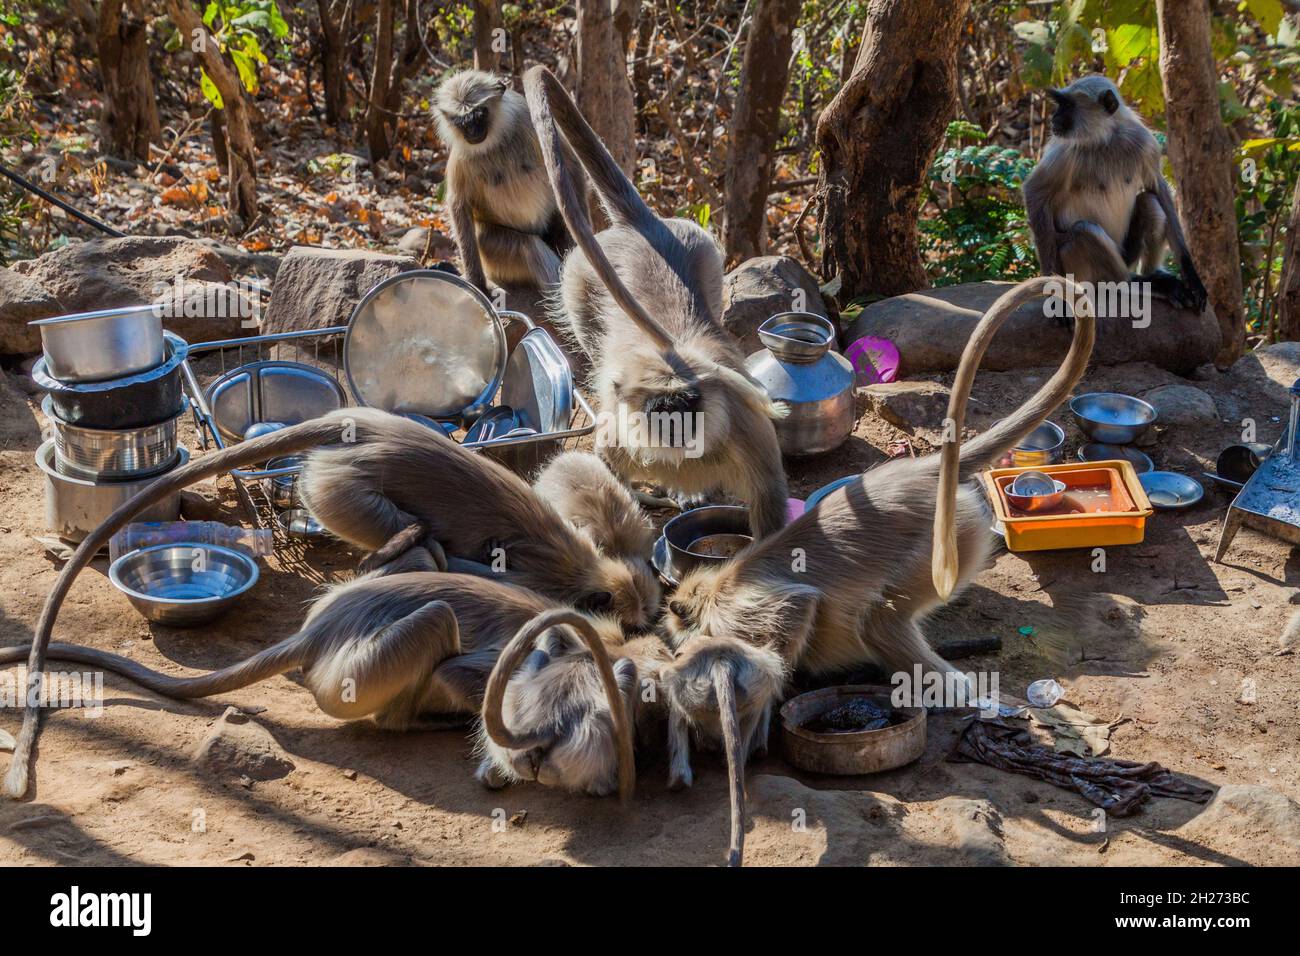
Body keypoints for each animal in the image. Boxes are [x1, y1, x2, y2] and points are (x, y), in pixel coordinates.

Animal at [434, 69, 579, 294]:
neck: (495, 140)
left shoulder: (524, 117)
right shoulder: (462, 153)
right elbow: (459, 204)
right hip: (491, 252)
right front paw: (477, 285)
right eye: (462, 122)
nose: (472, 132)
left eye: (480, 115)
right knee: (528, 247)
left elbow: (571, 167)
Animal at [522, 66, 791, 540]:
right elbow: (603, 474)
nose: (673, 430)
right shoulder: (622, 433)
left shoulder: (743, 426)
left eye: (683, 409)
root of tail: (641, 226)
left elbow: (769, 502)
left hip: (705, 252)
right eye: (660, 412)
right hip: (580, 277)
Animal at [659, 277, 1097, 805]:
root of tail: (924, 470)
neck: (715, 589)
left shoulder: (740, 613)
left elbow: (798, 608)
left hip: (942, 542)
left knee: (877, 620)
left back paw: (965, 696)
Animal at [1023, 74, 1207, 314]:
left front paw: (1192, 276)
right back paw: (1135, 284)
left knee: (1150, 201)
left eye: (1068, 106)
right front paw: (1054, 296)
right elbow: (1035, 192)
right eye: (1060, 105)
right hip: (1074, 264)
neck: (1106, 138)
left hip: (1126, 254)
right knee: (1084, 232)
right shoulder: (1066, 152)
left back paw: (1152, 275)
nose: (1054, 117)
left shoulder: (1143, 141)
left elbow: (1158, 188)